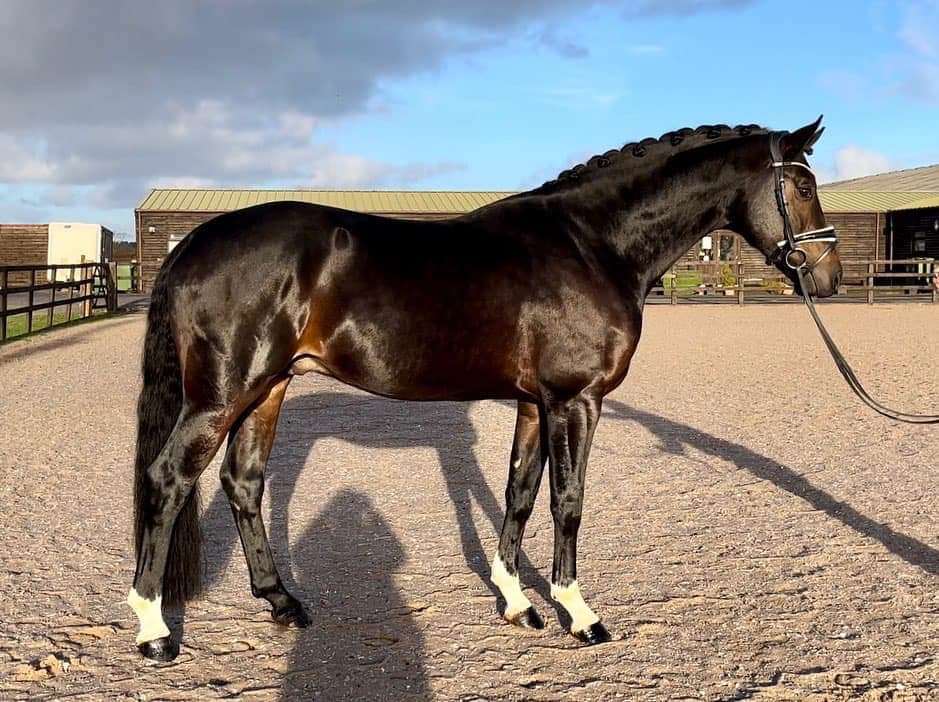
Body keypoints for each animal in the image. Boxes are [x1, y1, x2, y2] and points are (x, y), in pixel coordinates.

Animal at [128, 117, 842, 661]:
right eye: (804, 185)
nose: (829, 275)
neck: (591, 245)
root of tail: (194, 241)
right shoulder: (576, 400)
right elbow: (567, 502)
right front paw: (580, 614)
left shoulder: (535, 401)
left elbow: (520, 492)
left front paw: (518, 601)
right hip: (222, 395)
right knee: (168, 480)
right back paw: (155, 629)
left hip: (267, 388)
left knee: (243, 483)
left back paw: (282, 602)